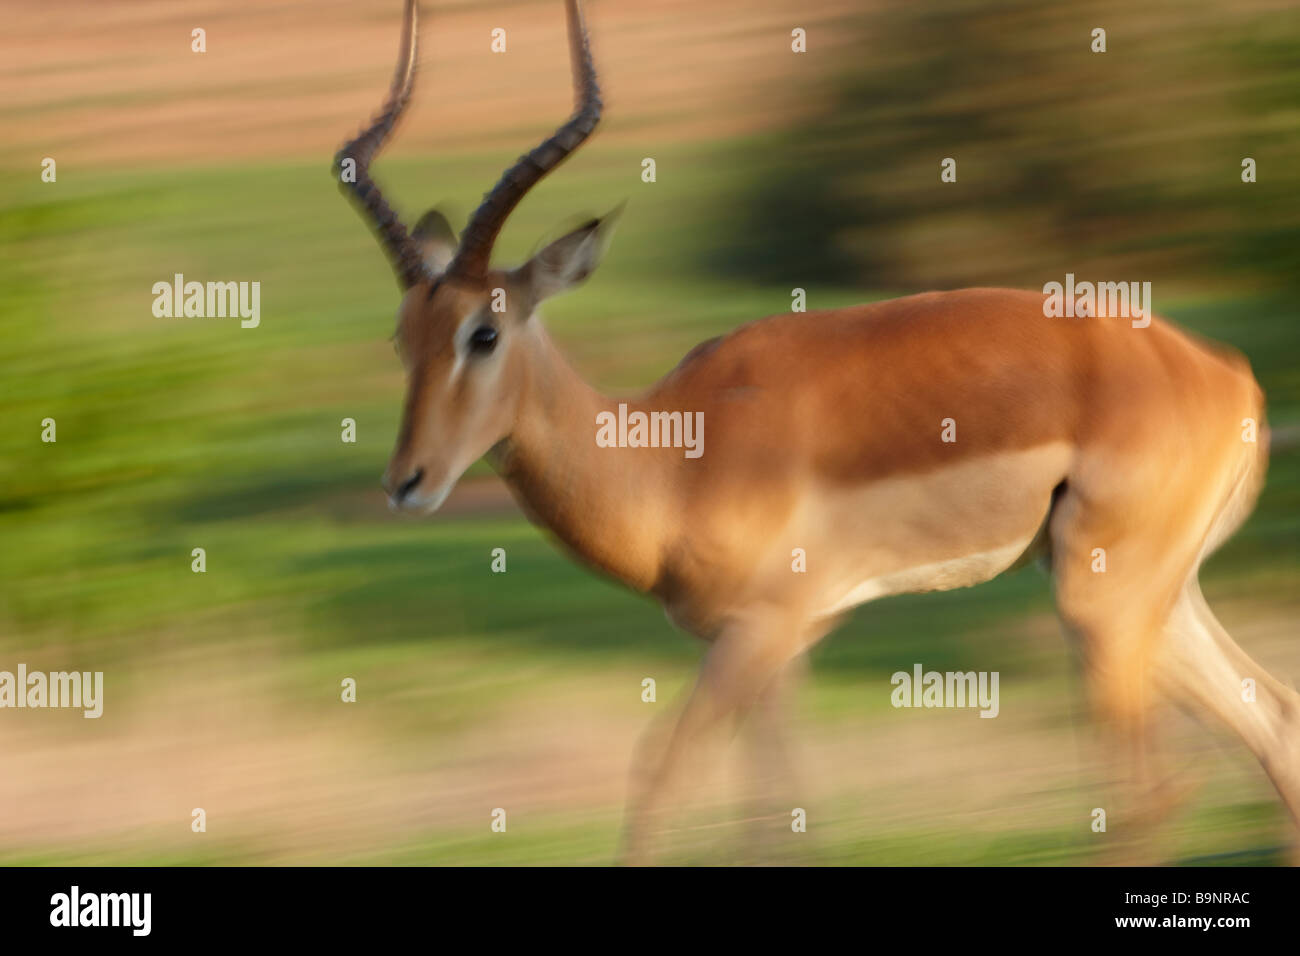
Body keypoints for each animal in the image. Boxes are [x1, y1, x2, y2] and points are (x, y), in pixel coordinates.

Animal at [335, 0, 1300, 862]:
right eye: (403, 337)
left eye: (483, 333)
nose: (407, 481)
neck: (666, 453)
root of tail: (1222, 374)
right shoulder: (783, 649)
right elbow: (781, 820)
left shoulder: (756, 635)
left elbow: (663, 776)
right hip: (1154, 600)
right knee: (1274, 722)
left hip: (1102, 610)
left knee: (1146, 799)